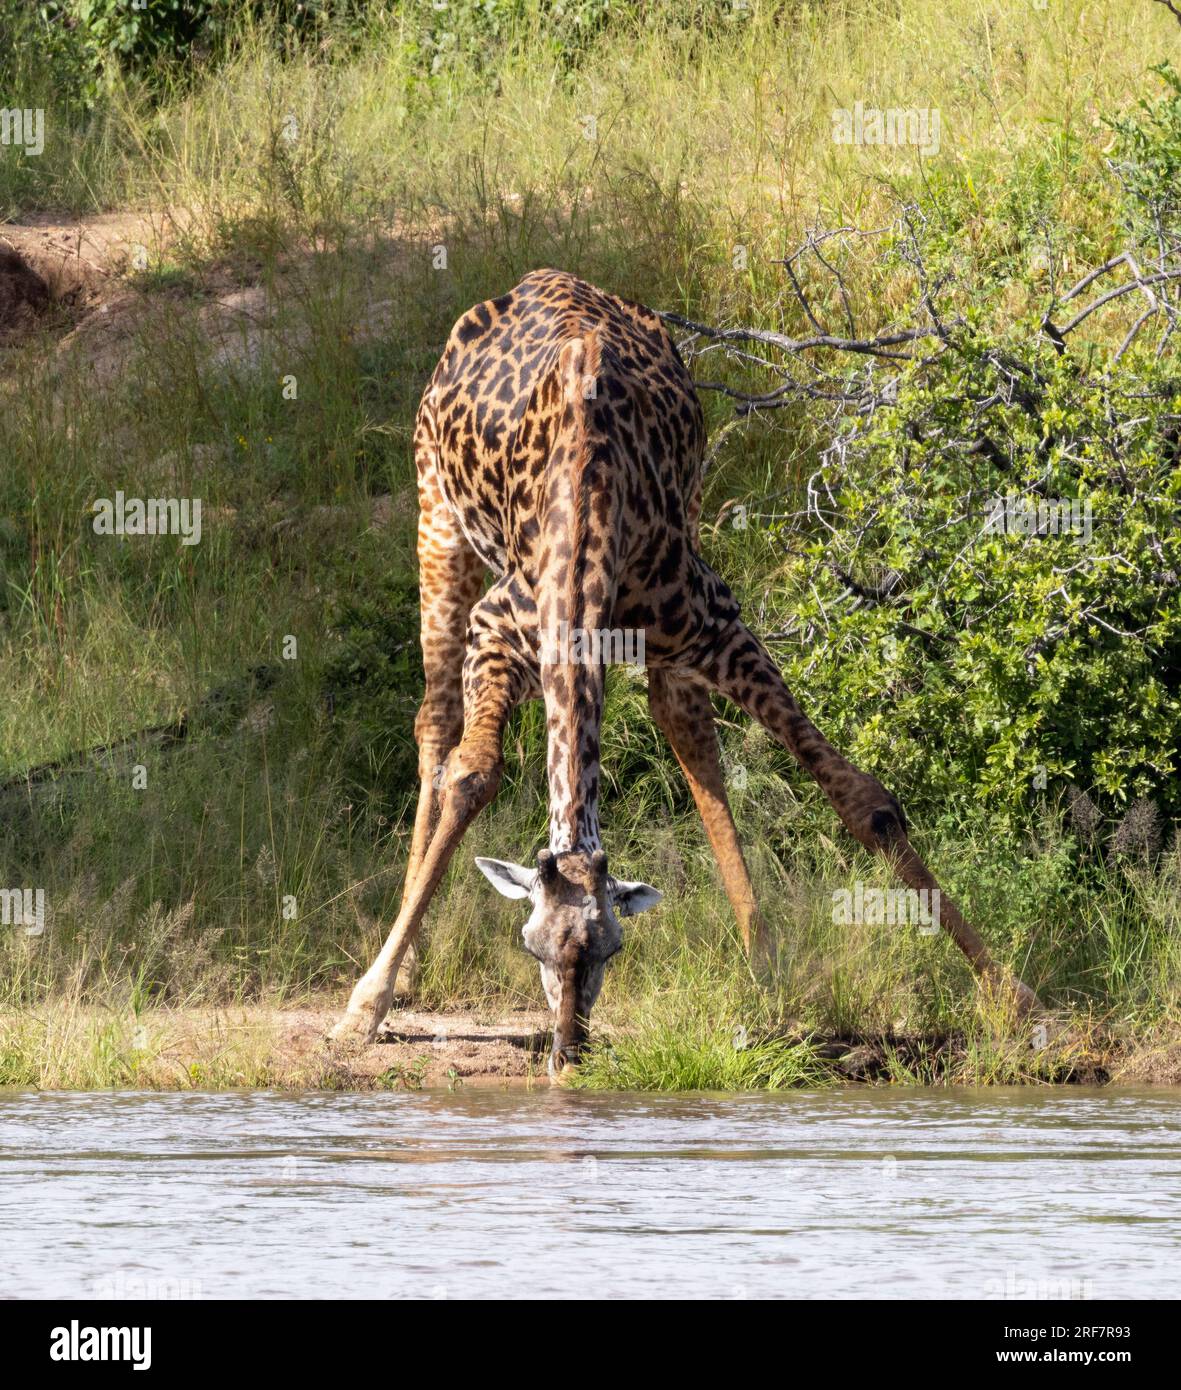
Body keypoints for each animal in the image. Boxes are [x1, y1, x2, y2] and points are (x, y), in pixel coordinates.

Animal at [331, 269, 1040, 1068]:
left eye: (611, 951)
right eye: (531, 948)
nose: (567, 1049)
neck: (591, 515)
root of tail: (538, 278)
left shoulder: (714, 623)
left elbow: (862, 799)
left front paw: (1015, 996)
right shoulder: (498, 632)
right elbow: (471, 776)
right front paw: (366, 1001)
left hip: (685, 537)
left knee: (684, 725)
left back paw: (764, 965)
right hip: (436, 513)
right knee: (436, 720)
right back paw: (406, 955)